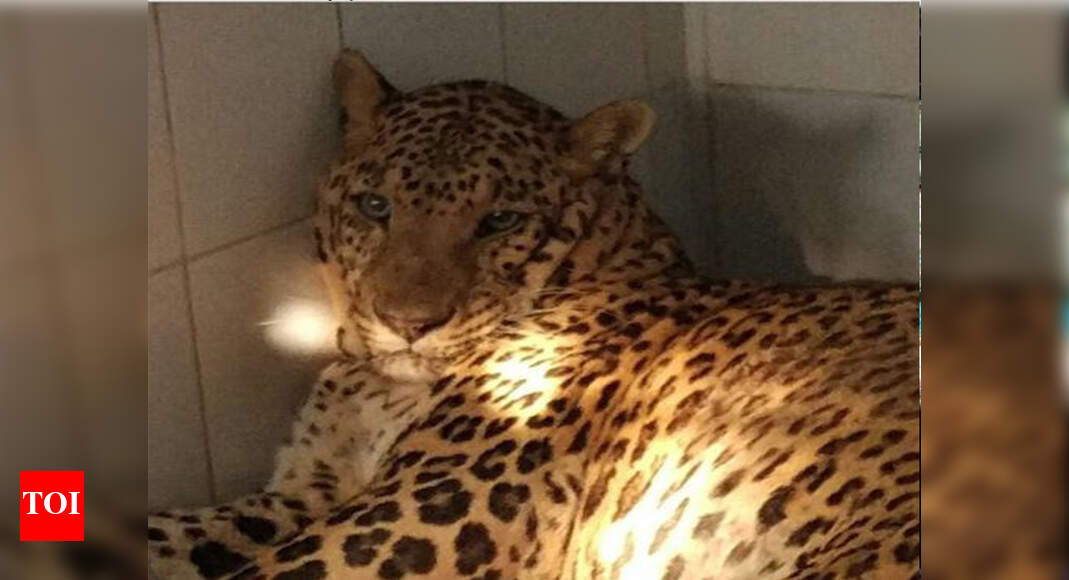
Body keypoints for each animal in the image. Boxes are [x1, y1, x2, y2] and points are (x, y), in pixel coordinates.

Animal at [148, 49, 919, 580]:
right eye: (375, 206)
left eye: (500, 221)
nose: (408, 323)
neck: (381, 386)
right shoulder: (312, 490)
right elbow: (184, 530)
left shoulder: (429, 505)